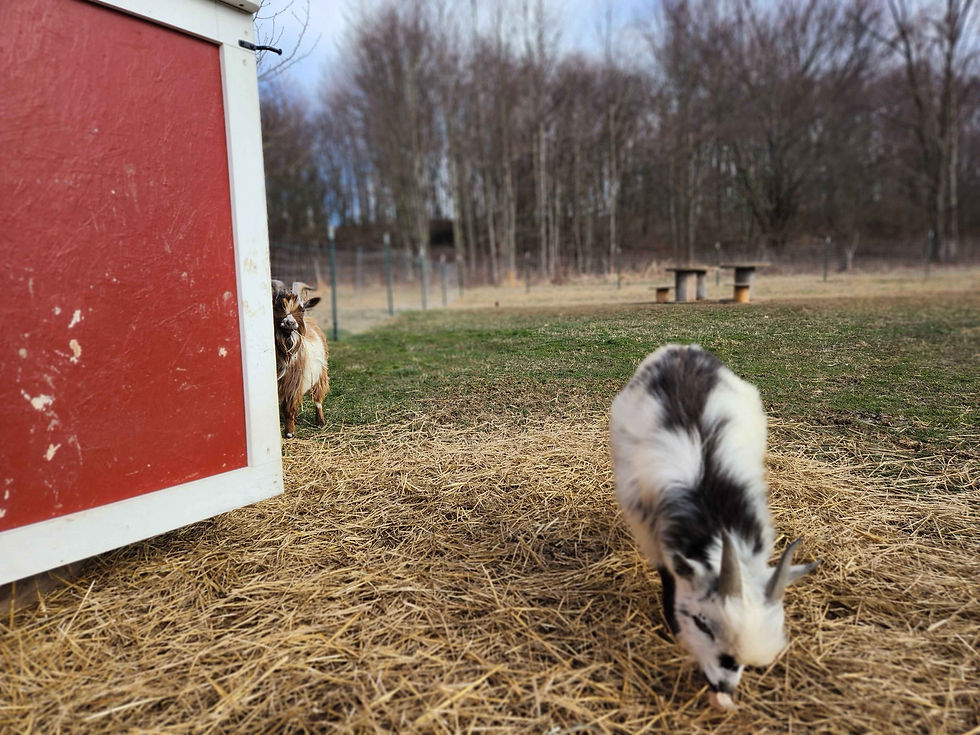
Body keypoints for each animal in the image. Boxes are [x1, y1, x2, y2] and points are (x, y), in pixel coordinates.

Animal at [271, 280, 330, 438]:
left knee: (318, 397)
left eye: (301, 309)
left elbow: (287, 407)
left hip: (321, 373)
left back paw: (320, 422)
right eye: (277, 306)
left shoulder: (293, 383)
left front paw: (289, 432)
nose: (289, 323)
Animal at [609, 343, 818, 710]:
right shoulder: (650, 531)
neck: (713, 513)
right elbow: (668, 578)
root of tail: (681, 349)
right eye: (702, 623)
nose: (724, 687)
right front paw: (672, 628)